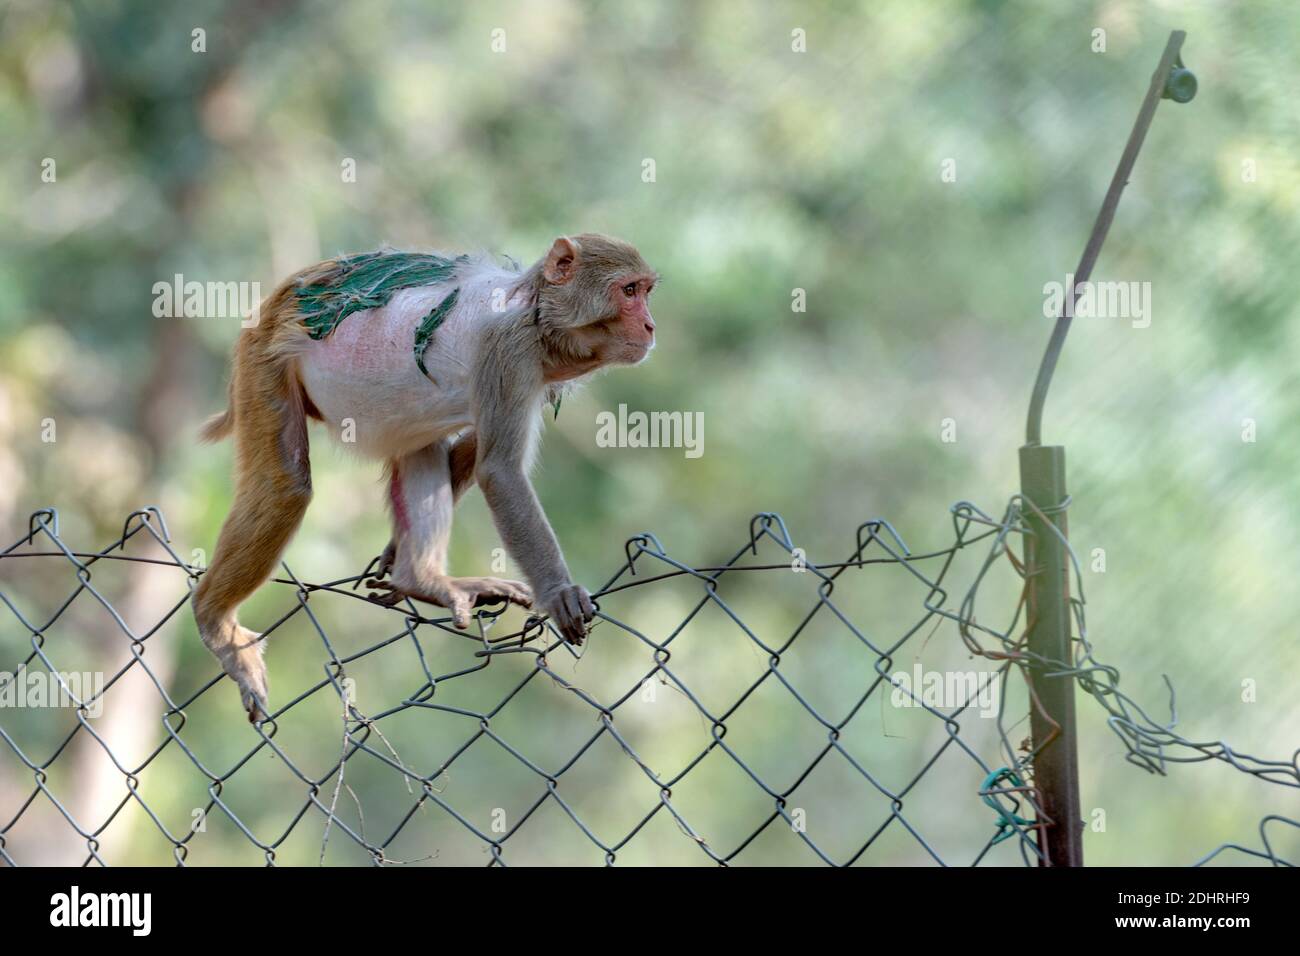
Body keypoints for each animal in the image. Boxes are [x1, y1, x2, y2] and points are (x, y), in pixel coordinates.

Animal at [193, 234, 658, 721]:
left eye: (646, 292)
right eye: (629, 291)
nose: (650, 325)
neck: (538, 314)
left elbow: (476, 447)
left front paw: (394, 554)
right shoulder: (509, 348)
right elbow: (500, 470)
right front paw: (558, 592)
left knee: (421, 445)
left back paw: (420, 579)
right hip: (264, 355)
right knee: (286, 485)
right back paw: (214, 619)